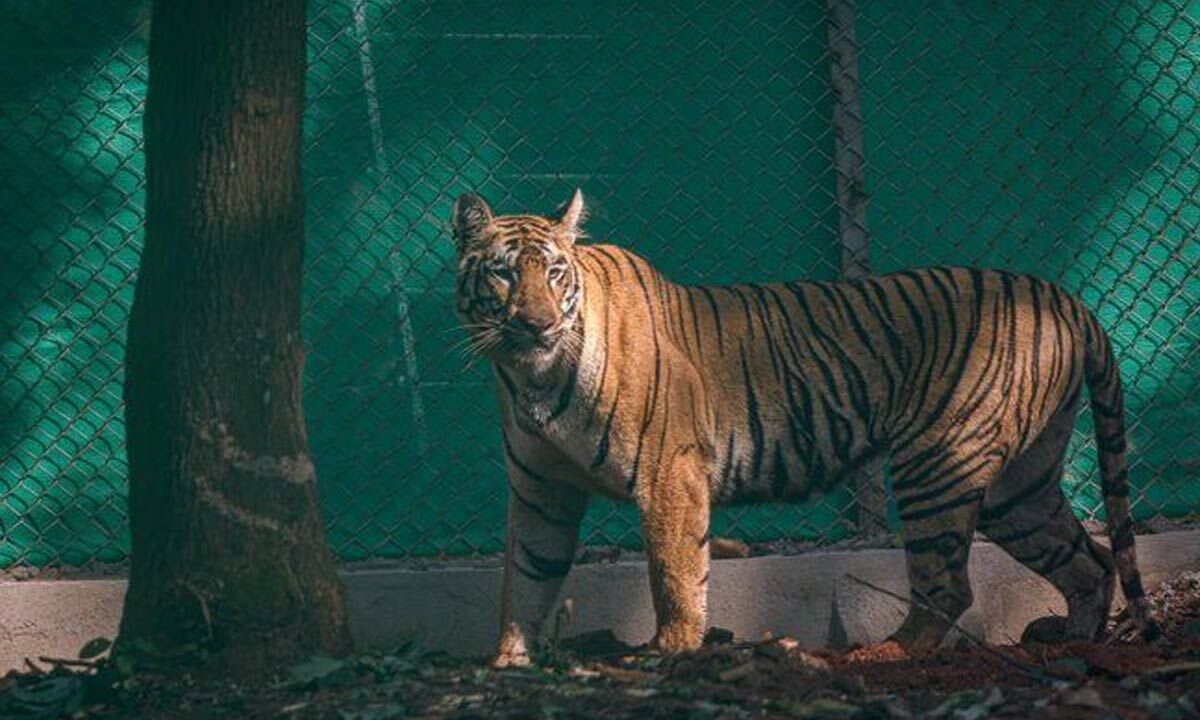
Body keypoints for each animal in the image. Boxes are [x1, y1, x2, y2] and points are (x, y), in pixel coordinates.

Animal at [450, 189, 1160, 668]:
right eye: (504, 272)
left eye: (555, 274)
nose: (538, 324)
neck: (532, 375)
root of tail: (1065, 296)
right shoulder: (541, 490)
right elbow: (526, 575)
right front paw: (508, 662)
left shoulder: (669, 473)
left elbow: (674, 574)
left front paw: (670, 652)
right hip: (1019, 486)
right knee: (1089, 560)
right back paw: (1072, 640)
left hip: (939, 462)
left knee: (950, 584)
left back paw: (885, 654)